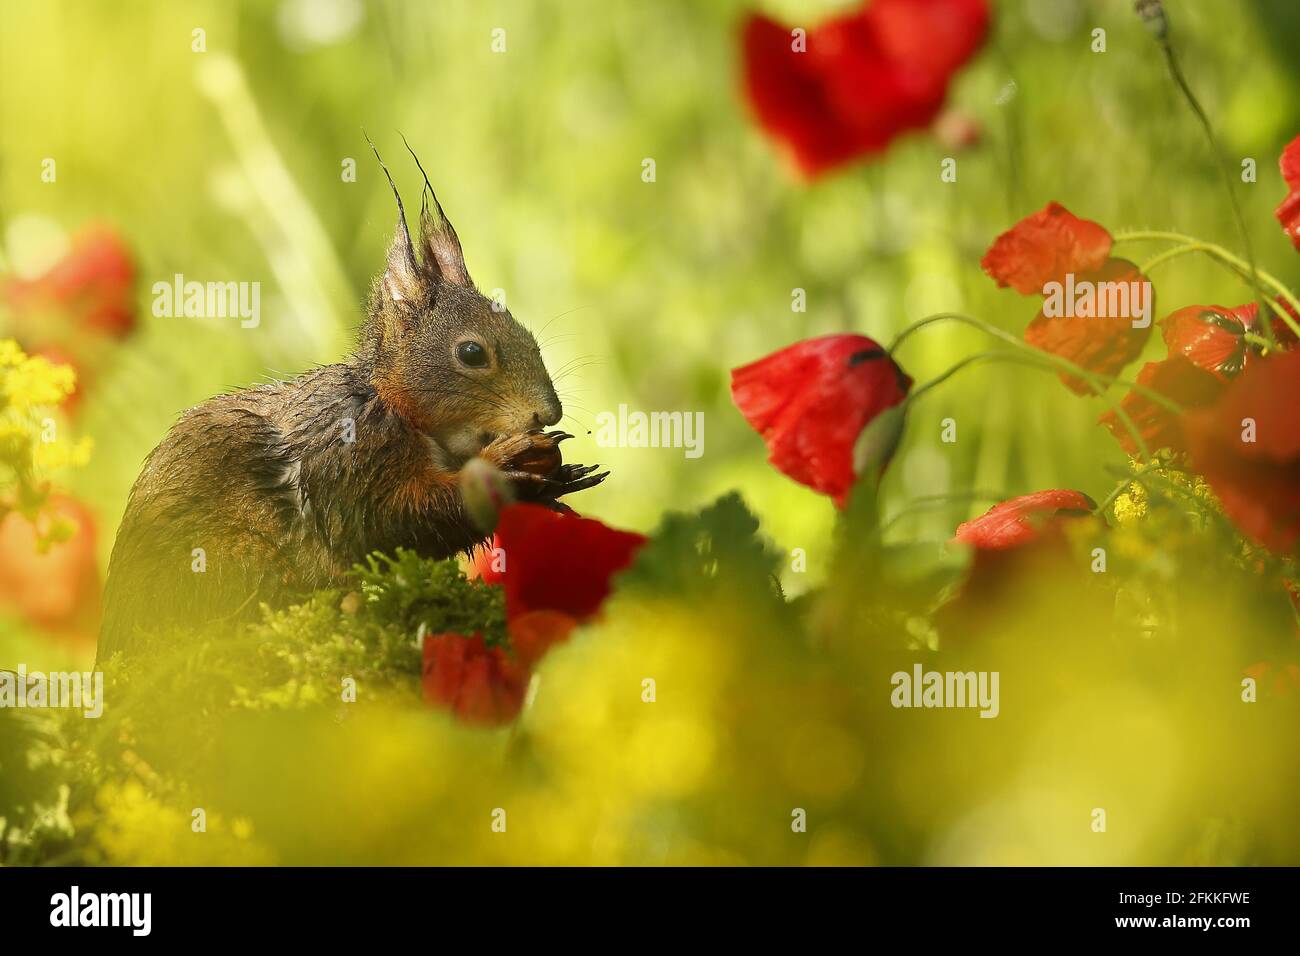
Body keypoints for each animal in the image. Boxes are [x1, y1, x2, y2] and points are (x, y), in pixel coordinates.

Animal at [97, 143, 607, 659]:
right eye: (471, 353)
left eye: (530, 337)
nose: (549, 412)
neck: (393, 407)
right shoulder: (349, 460)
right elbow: (396, 520)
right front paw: (507, 466)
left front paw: (557, 478)